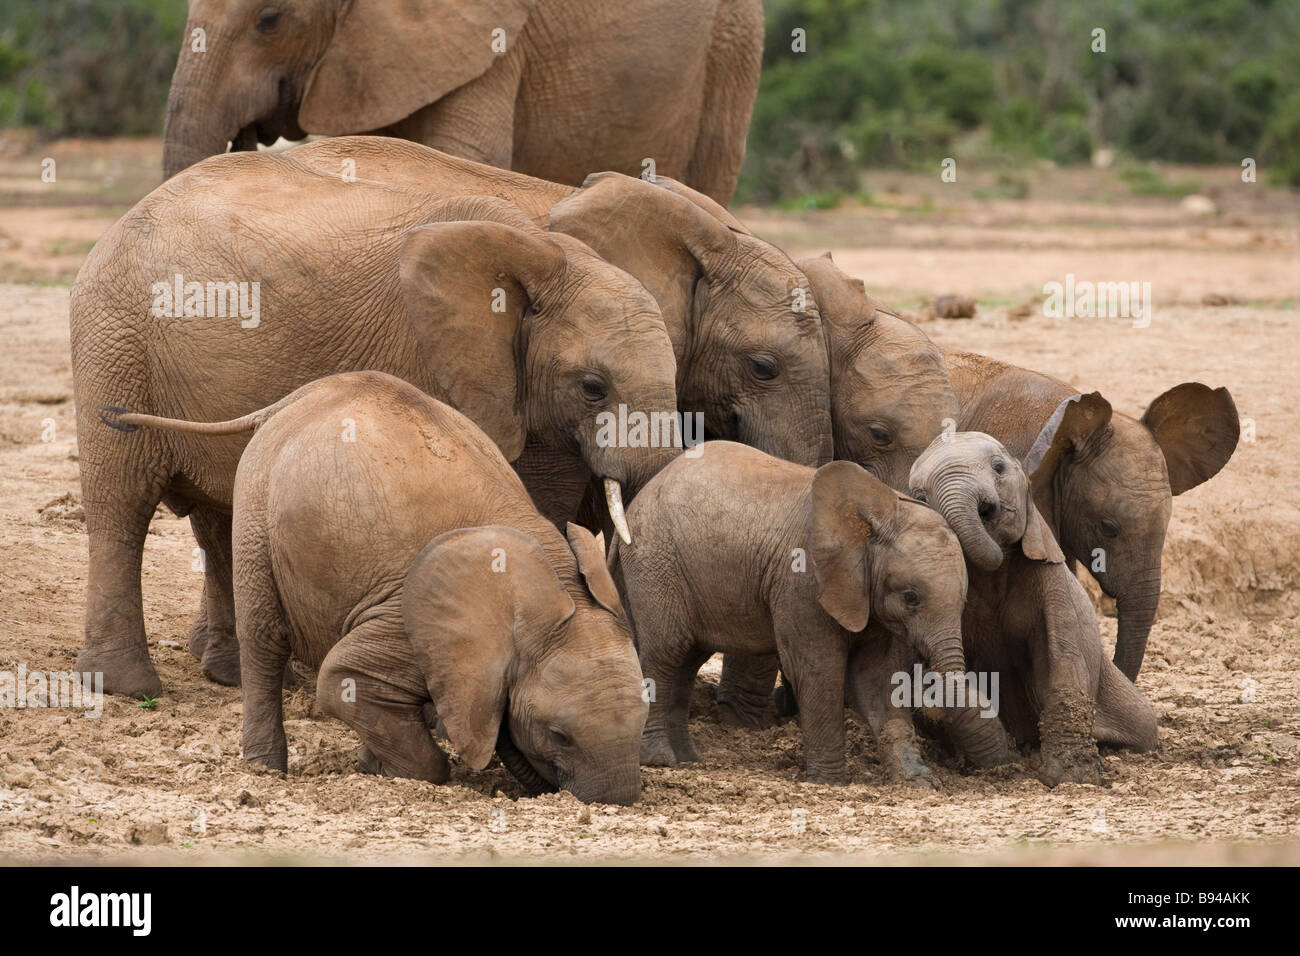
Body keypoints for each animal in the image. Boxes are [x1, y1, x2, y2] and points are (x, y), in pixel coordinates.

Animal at [70, 155, 680, 697]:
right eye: (593, 387)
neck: (545, 254)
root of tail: (119, 222)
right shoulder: (427, 355)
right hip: (116, 341)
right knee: (121, 502)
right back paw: (127, 687)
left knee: (219, 517)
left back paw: (234, 676)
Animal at [110, 372, 646, 804]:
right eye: (559, 735)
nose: (617, 802)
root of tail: (289, 402)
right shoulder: (403, 620)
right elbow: (342, 680)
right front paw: (397, 774)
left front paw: (375, 768)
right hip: (257, 510)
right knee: (264, 639)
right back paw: (264, 769)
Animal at [612, 441, 1008, 784]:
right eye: (911, 598)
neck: (882, 510)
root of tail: (640, 498)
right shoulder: (802, 581)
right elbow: (819, 668)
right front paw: (831, 783)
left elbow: (875, 677)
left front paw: (918, 782)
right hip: (656, 563)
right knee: (666, 653)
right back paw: (660, 760)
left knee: (687, 659)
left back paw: (687, 759)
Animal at [907, 431, 1159, 787]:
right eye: (919, 496)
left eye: (999, 468)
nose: (986, 510)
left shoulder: (1049, 576)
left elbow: (1060, 655)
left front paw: (1071, 776)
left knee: (1145, 725)